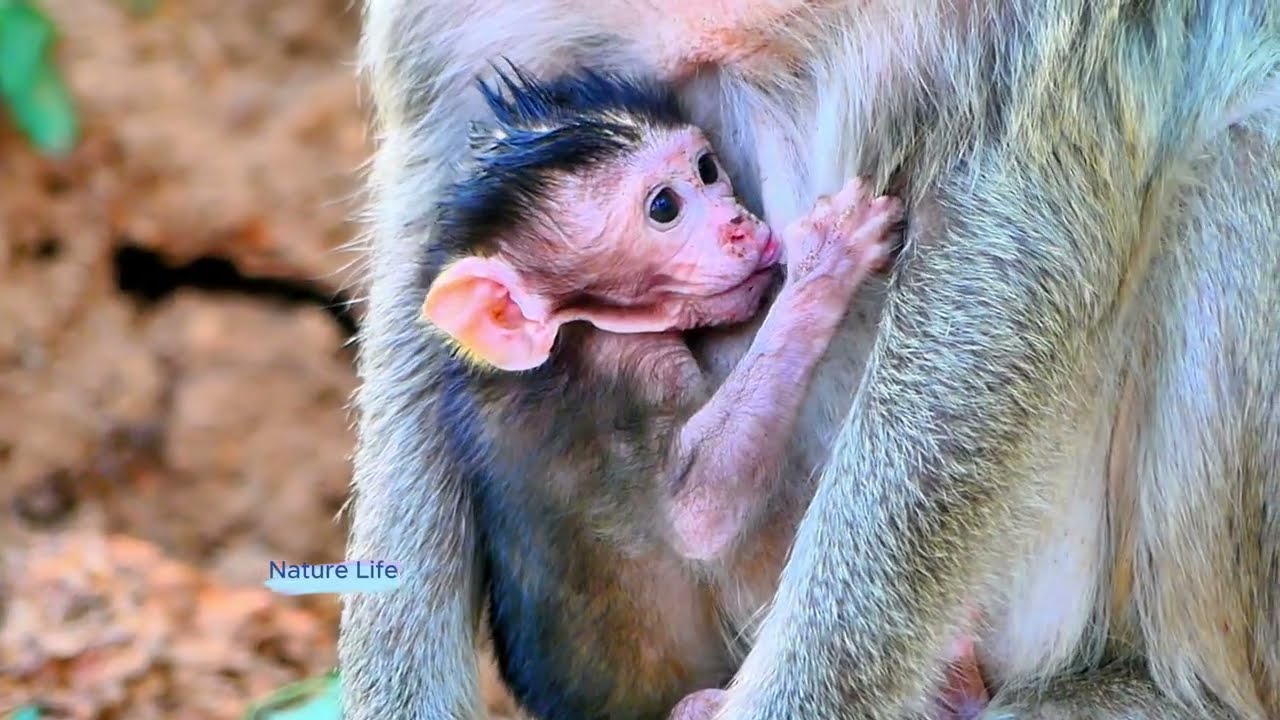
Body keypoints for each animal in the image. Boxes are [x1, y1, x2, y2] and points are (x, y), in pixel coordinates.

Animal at [340, 1, 1280, 719]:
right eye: (664, 207)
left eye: (705, 172)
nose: (739, 229)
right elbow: (434, 189)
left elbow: (1025, 207)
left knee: (1243, 155)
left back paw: (1166, 693)